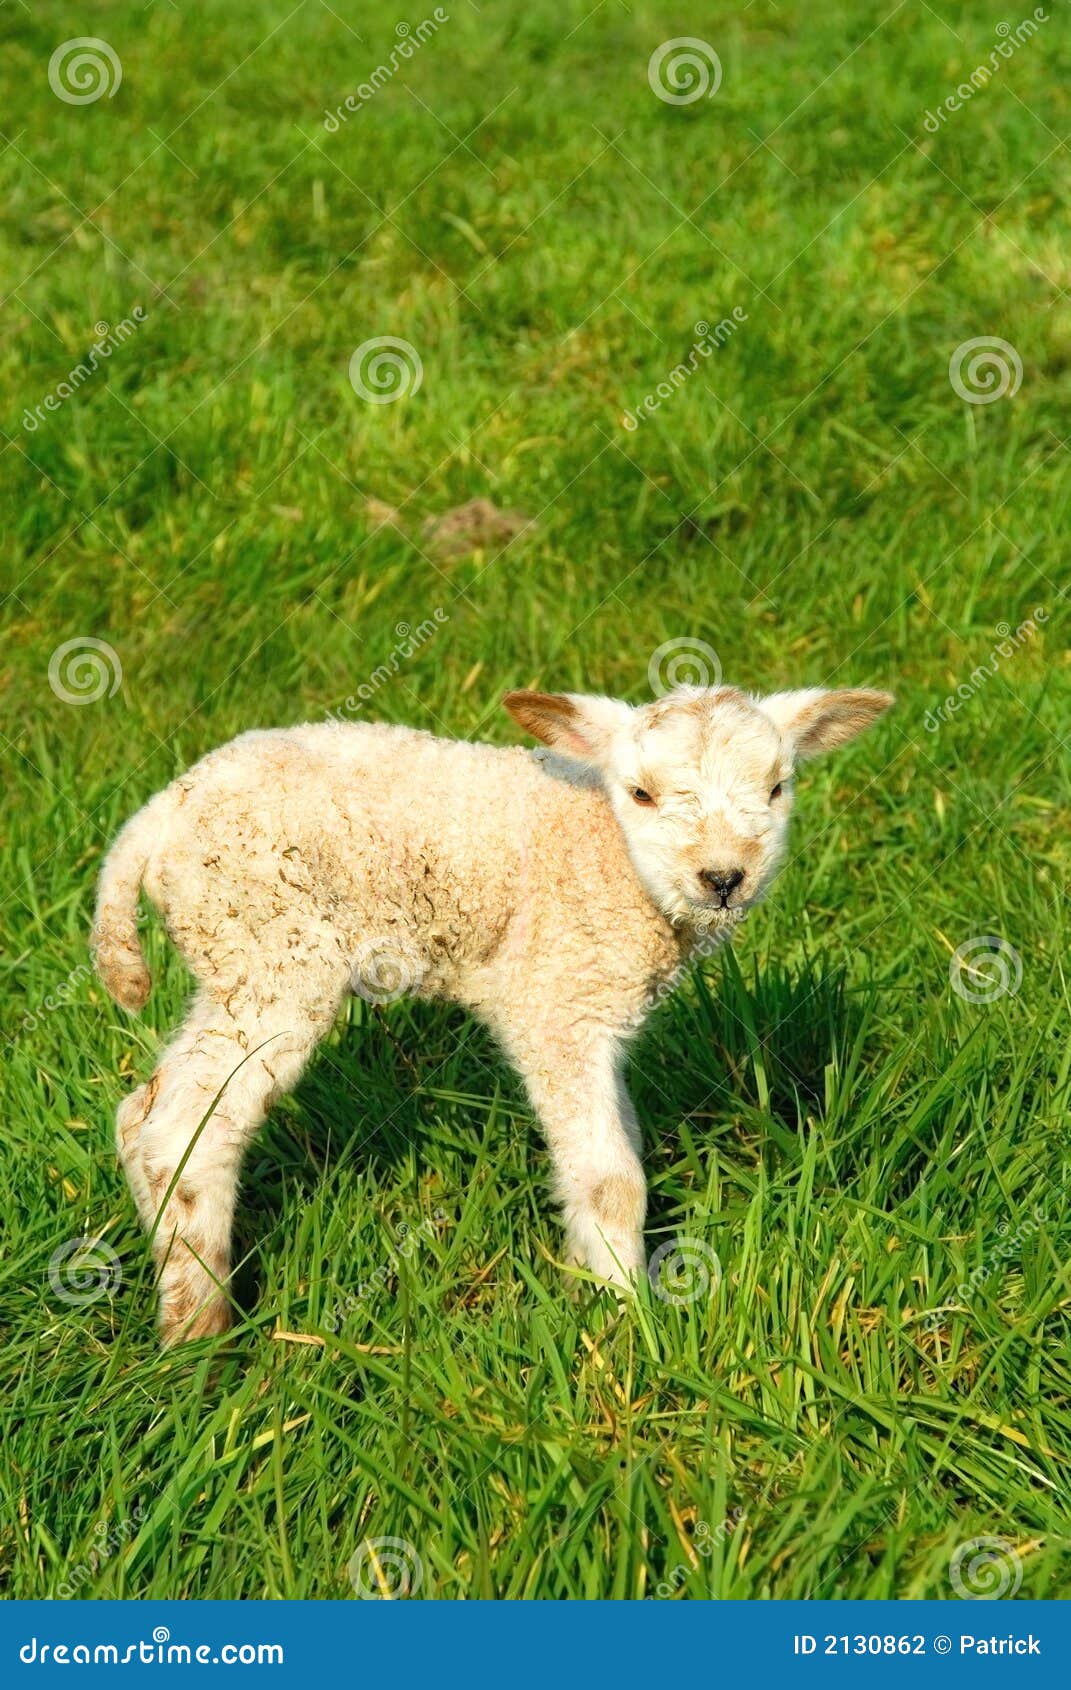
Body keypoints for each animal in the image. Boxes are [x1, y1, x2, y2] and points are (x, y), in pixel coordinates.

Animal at [92, 682, 892, 1343]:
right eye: (639, 794)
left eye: (777, 787)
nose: (722, 878)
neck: (607, 851)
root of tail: (157, 816)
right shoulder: (556, 1003)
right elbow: (613, 1182)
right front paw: (627, 1321)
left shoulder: (595, 1009)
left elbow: (606, 1152)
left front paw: (589, 1283)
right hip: (271, 946)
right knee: (184, 1130)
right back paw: (199, 1336)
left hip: (231, 960)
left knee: (143, 1113)